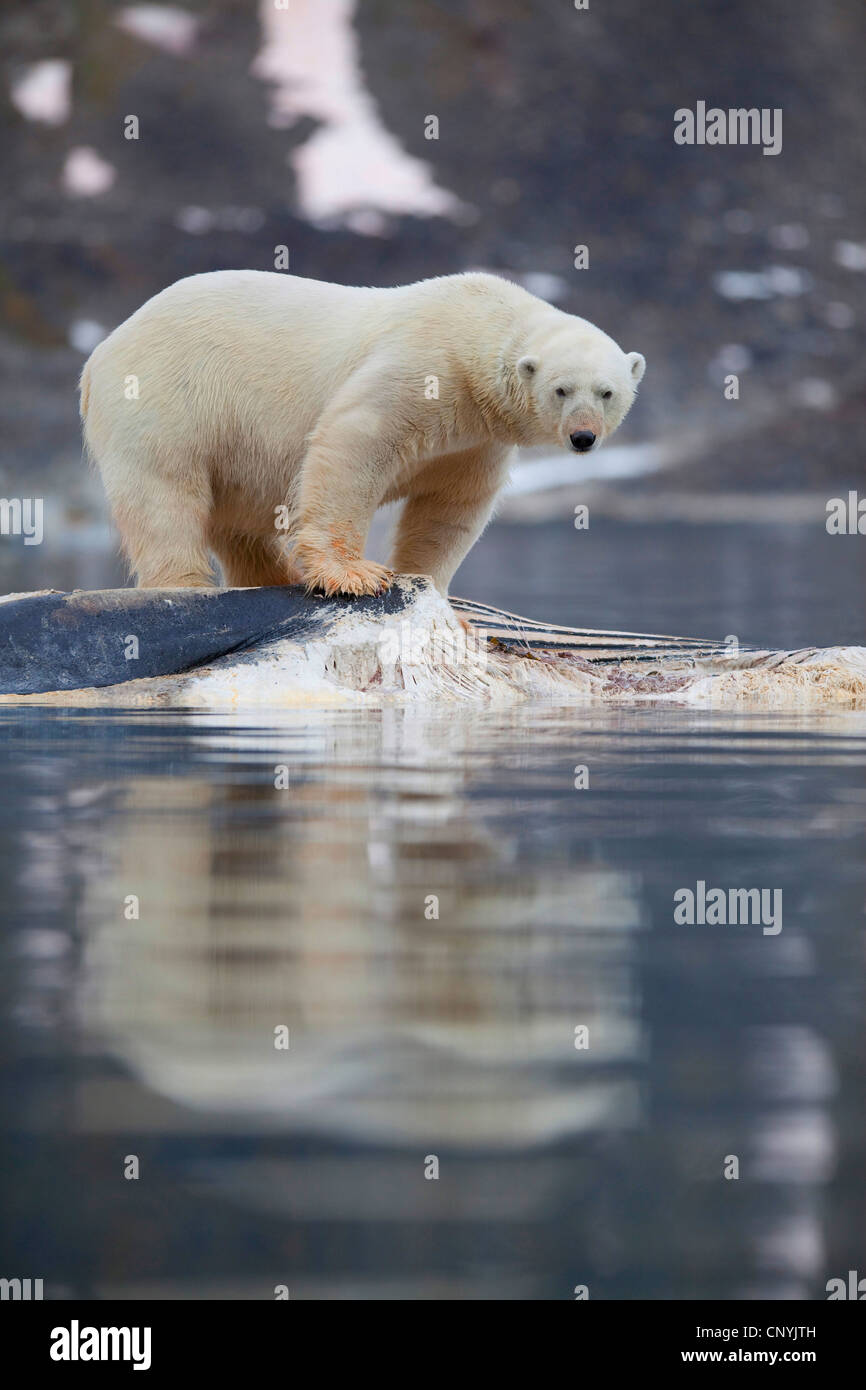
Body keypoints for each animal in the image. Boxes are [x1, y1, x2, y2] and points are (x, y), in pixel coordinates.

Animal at [80, 271, 645, 597]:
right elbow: (353, 443)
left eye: (607, 392)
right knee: (165, 496)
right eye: (561, 389)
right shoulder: (425, 366)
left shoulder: (475, 438)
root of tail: (101, 352)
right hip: (168, 398)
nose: (583, 437)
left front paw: (432, 590)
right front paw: (353, 575)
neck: (477, 329)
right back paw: (186, 585)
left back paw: (273, 576)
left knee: (238, 523)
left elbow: (450, 506)